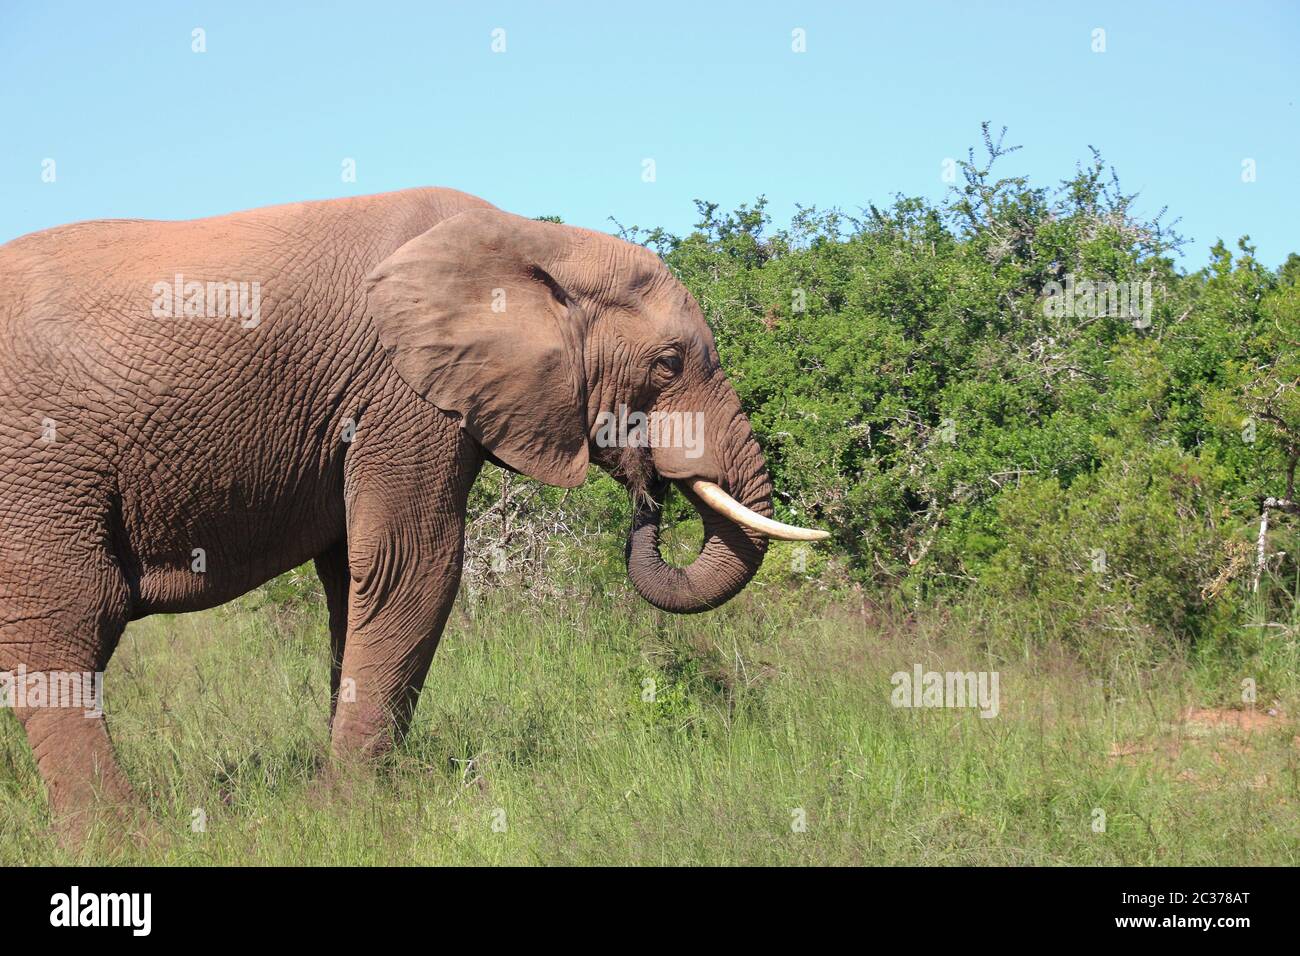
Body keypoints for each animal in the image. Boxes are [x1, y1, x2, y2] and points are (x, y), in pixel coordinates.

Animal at [0, 188, 826, 839]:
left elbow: (354, 582)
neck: (532, 241)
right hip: (42, 471)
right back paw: (127, 838)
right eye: (668, 364)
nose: (645, 485)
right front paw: (346, 815)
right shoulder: (402, 396)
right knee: (66, 628)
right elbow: (413, 569)